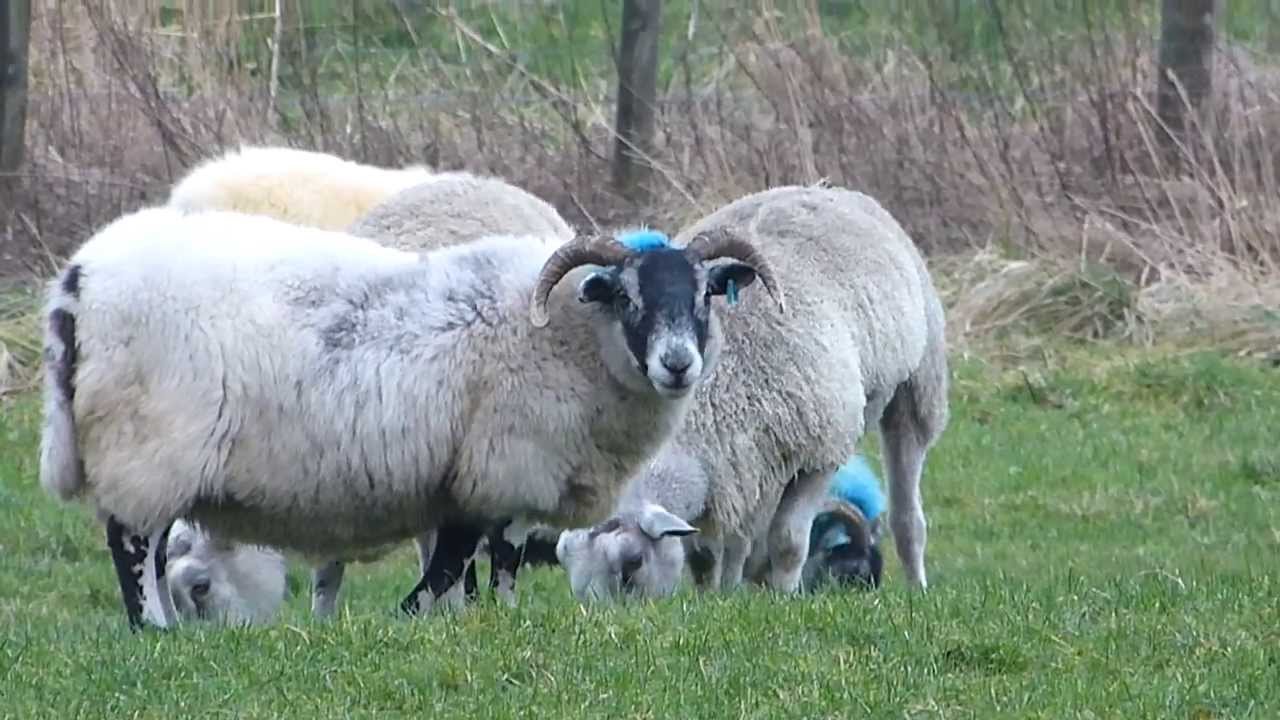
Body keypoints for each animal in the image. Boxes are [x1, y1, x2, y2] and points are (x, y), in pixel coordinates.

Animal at [38, 205, 784, 630]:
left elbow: (489, 558)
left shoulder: (490, 478)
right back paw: (155, 629)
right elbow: (463, 559)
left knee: (153, 542)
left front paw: (487, 619)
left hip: (153, 455)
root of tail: (78, 280)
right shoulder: (499, 464)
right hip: (148, 443)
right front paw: (427, 618)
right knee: (133, 544)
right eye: (628, 298)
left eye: (705, 297)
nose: (678, 364)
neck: (568, 337)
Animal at [554, 184, 948, 598]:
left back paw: (916, 585)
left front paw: (784, 598)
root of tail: (827, 188)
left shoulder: (820, 453)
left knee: (907, 512)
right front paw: (716, 596)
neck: (707, 404)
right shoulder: (736, 465)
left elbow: (788, 542)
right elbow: (710, 551)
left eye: (632, 563)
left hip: (917, 387)